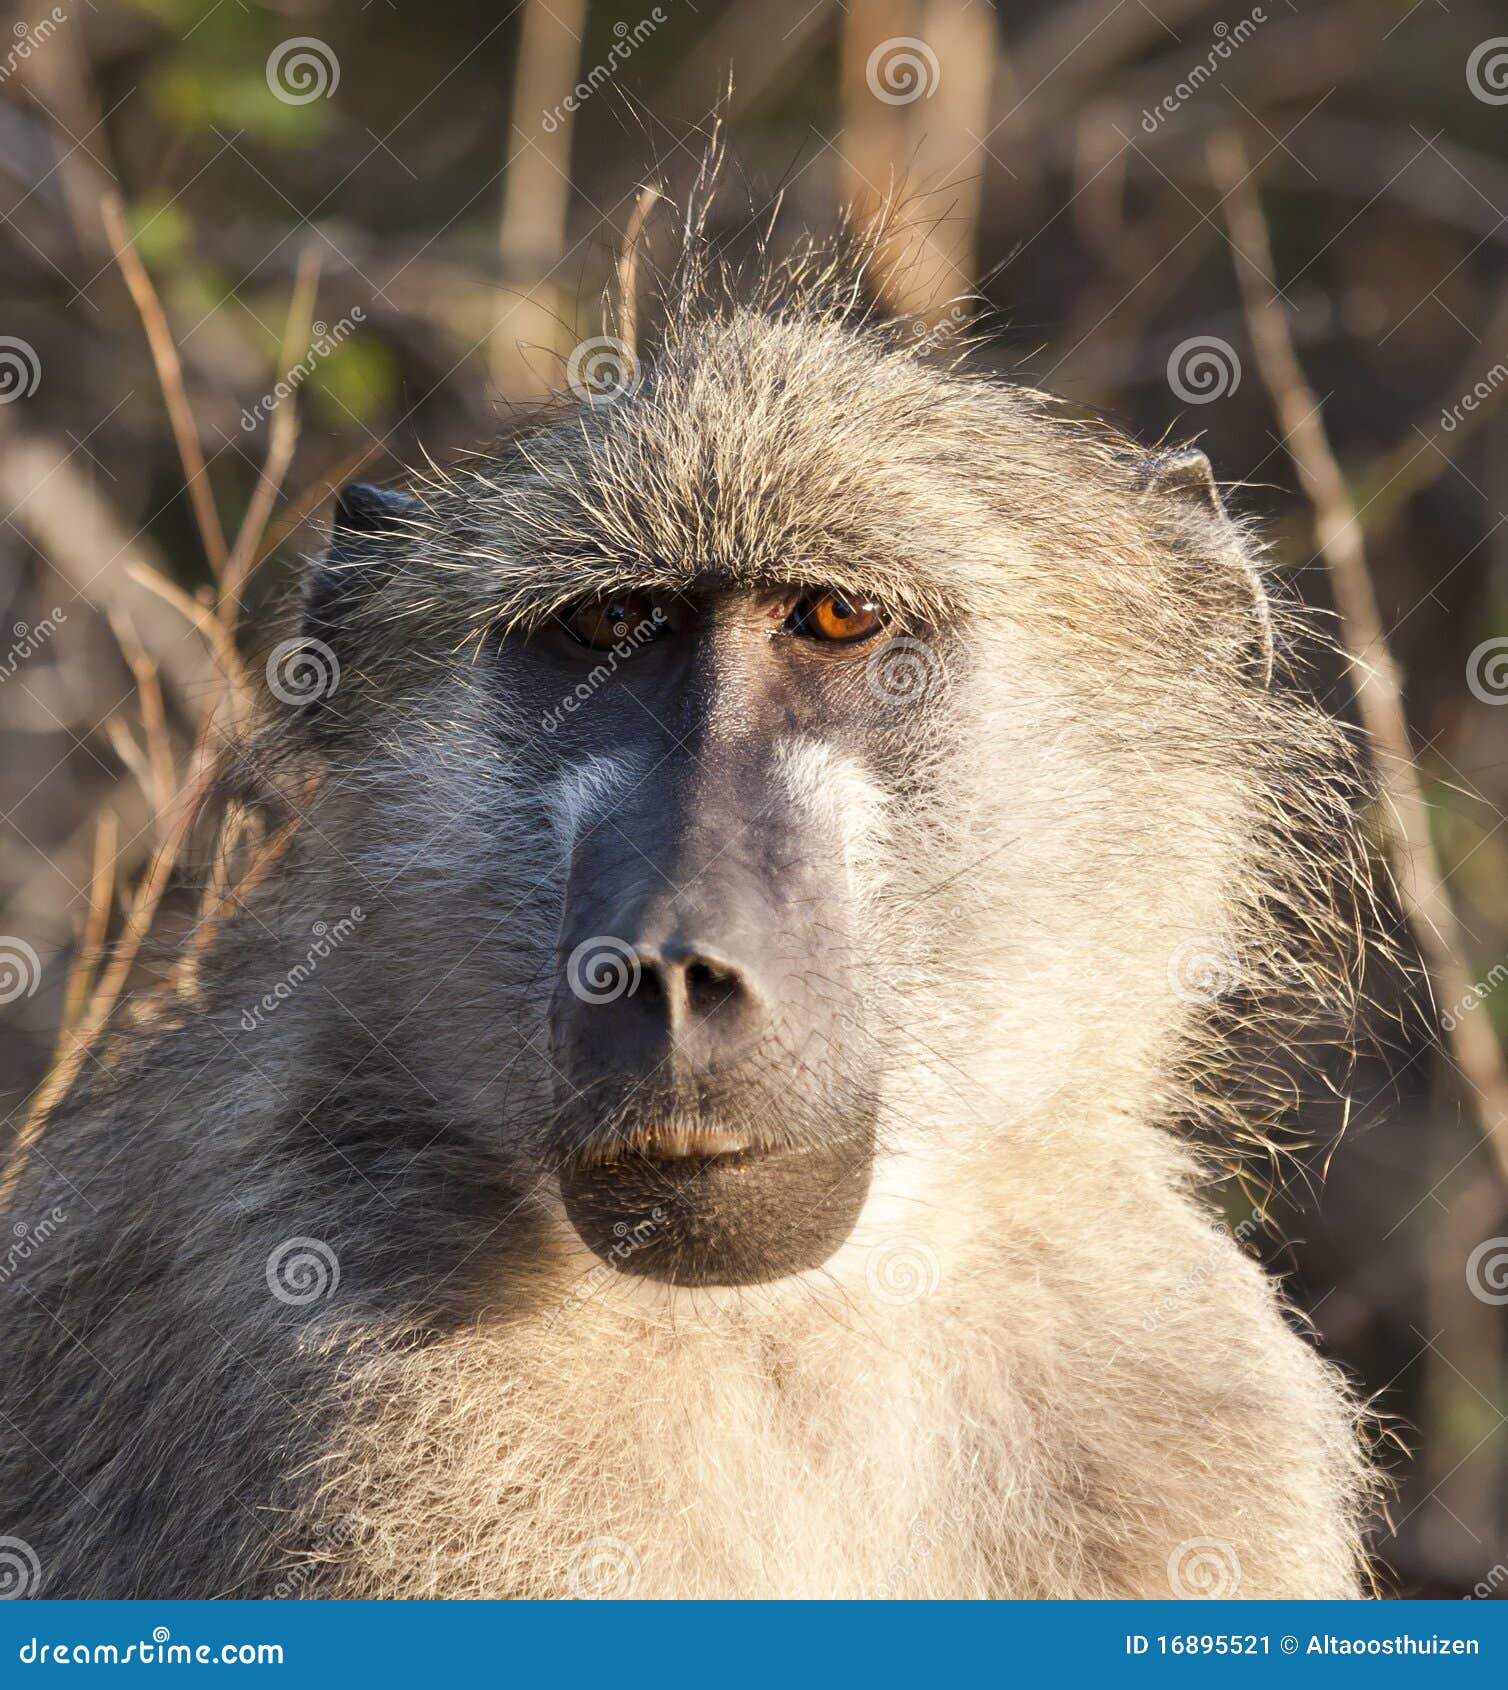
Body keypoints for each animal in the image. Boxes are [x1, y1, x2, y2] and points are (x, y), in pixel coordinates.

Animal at [0, 208, 1377, 1601]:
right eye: (612, 623)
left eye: (836, 617)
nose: (661, 966)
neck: (801, 1316)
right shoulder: (354, 1362)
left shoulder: (1183, 1372)